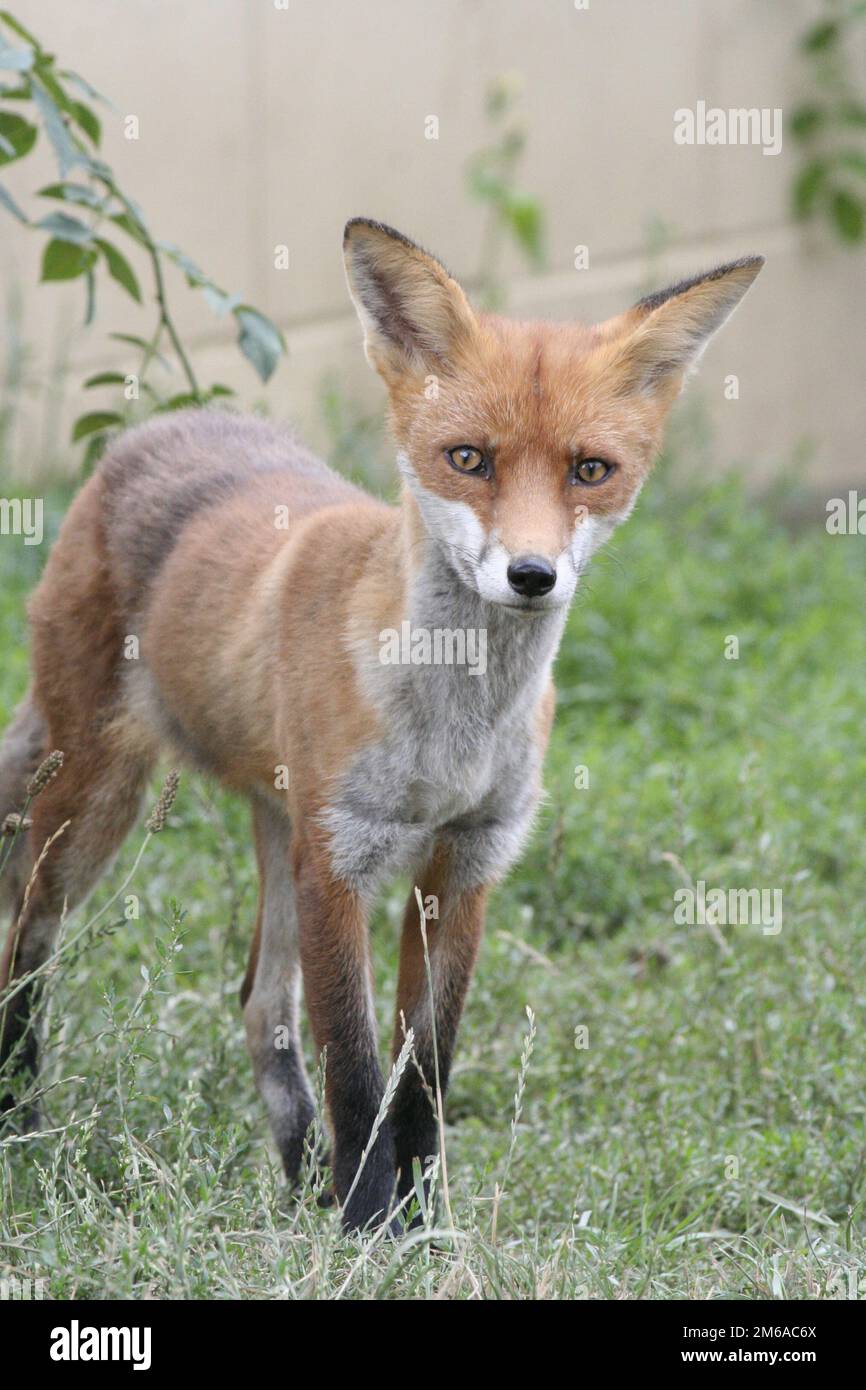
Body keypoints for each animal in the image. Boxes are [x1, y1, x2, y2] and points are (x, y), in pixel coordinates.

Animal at [0, 219, 763, 1231]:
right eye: (468, 458)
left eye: (591, 471)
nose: (531, 575)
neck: (453, 727)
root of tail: (152, 430)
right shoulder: (341, 860)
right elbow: (359, 1073)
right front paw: (367, 1227)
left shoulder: (466, 861)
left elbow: (424, 1073)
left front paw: (424, 1222)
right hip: (94, 803)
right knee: (26, 941)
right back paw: (23, 1126)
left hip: (274, 823)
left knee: (260, 1005)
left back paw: (300, 1181)